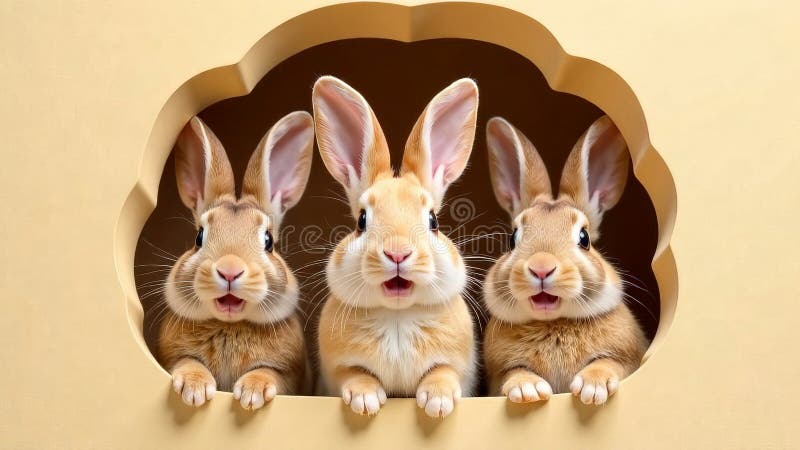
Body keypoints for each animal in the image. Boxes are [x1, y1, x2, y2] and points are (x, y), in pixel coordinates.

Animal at [157, 111, 314, 410]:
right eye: (199, 236)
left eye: (268, 241)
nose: (229, 271)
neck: (229, 325)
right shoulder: (172, 358)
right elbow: (187, 362)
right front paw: (194, 390)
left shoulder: (289, 375)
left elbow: (268, 373)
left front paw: (252, 393)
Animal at [311, 76, 479, 418]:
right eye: (361, 220)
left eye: (433, 220)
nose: (398, 253)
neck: (398, 316)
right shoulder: (337, 369)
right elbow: (355, 374)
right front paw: (365, 400)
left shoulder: (457, 365)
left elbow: (443, 372)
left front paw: (438, 402)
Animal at [482, 115, 648, 406]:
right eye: (512, 239)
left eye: (584, 238)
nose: (541, 268)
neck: (554, 323)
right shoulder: (498, 374)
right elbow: (514, 373)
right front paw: (528, 389)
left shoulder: (627, 357)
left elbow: (608, 363)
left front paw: (593, 388)